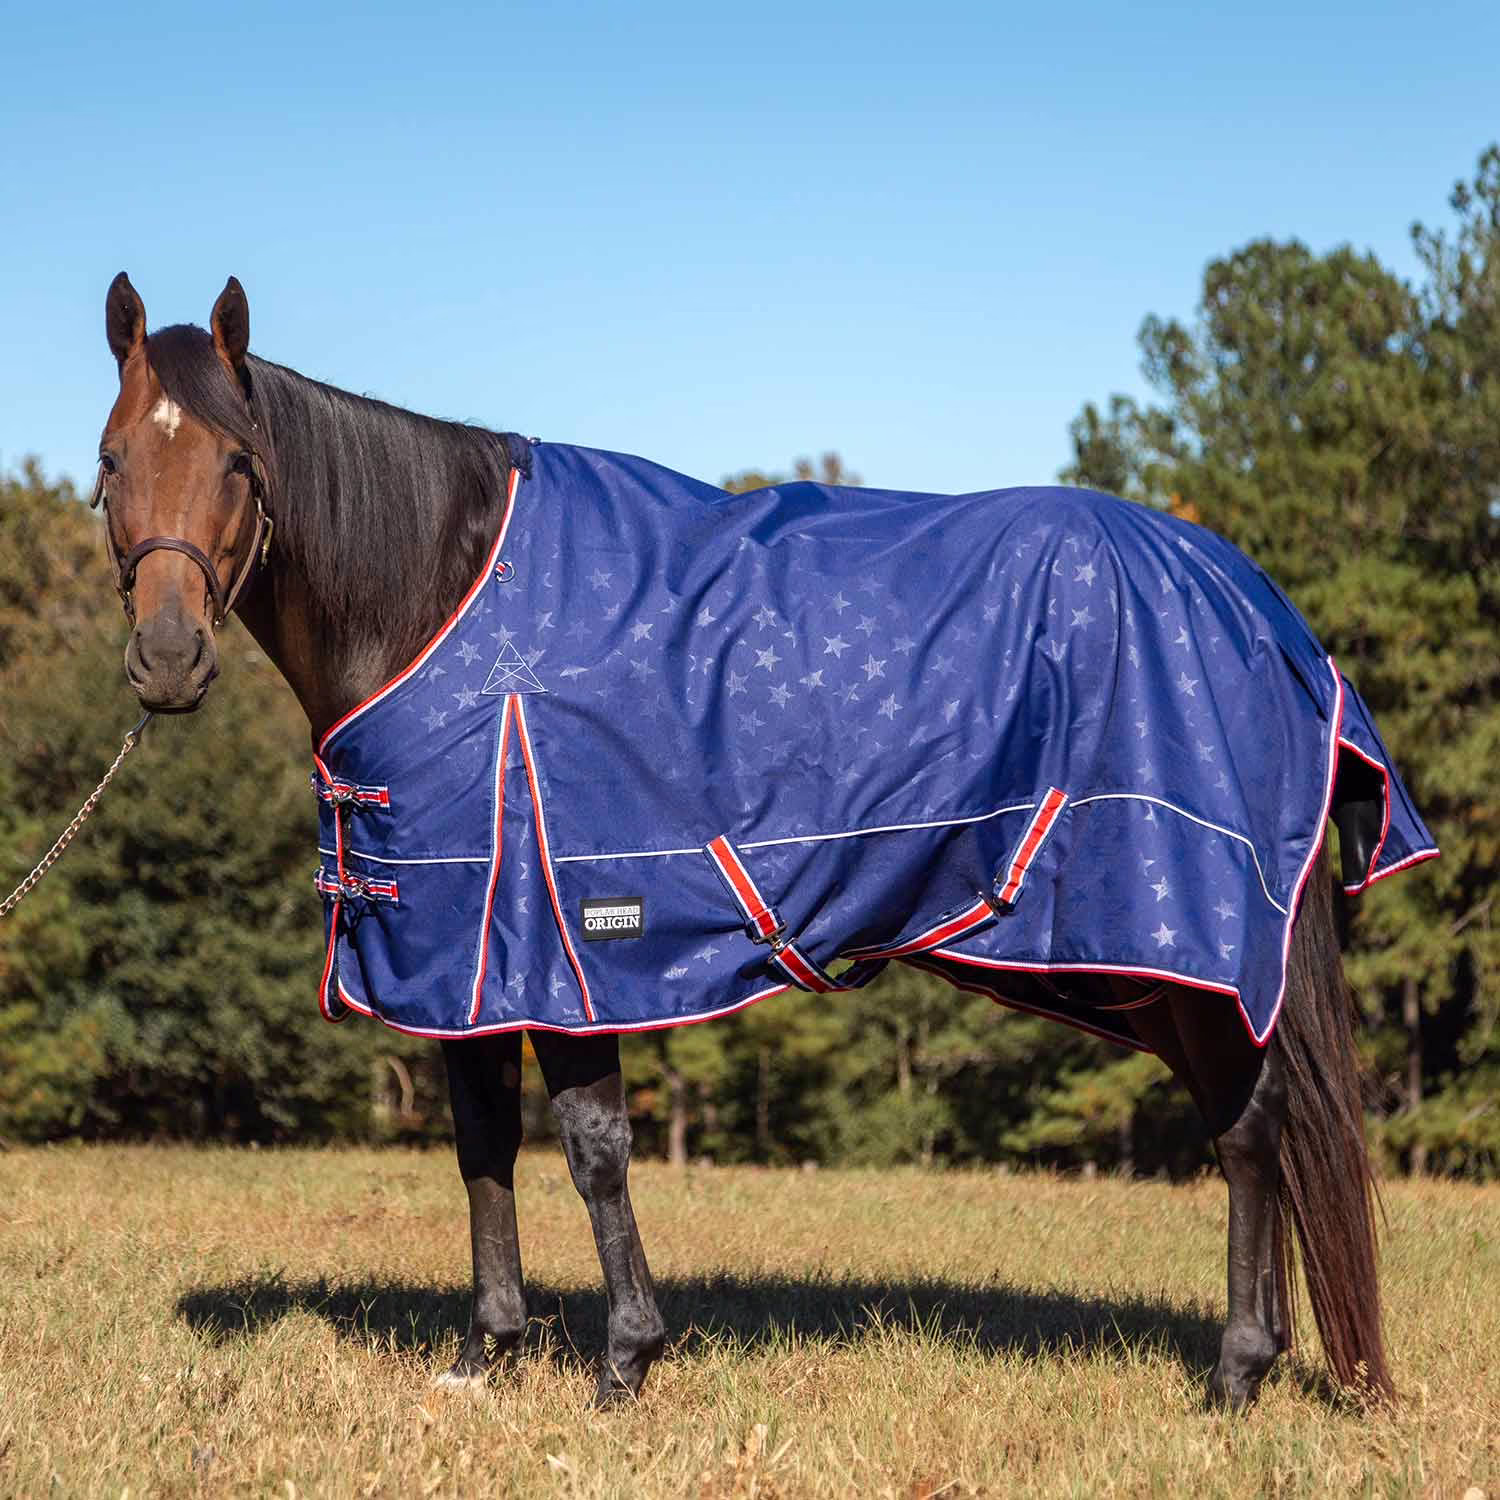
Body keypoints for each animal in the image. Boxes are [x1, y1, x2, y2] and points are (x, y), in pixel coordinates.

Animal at [91, 271, 1432, 1411]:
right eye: (111, 460)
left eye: (236, 458)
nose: (165, 662)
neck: (445, 601)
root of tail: (1263, 611)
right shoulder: (462, 957)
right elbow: (482, 1150)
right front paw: (487, 1356)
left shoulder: (570, 947)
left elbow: (592, 1150)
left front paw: (625, 1363)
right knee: (1249, 1124)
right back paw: (1258, 1358)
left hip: (1184, 939)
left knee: (1251, 1130)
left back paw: (1237, 1374)